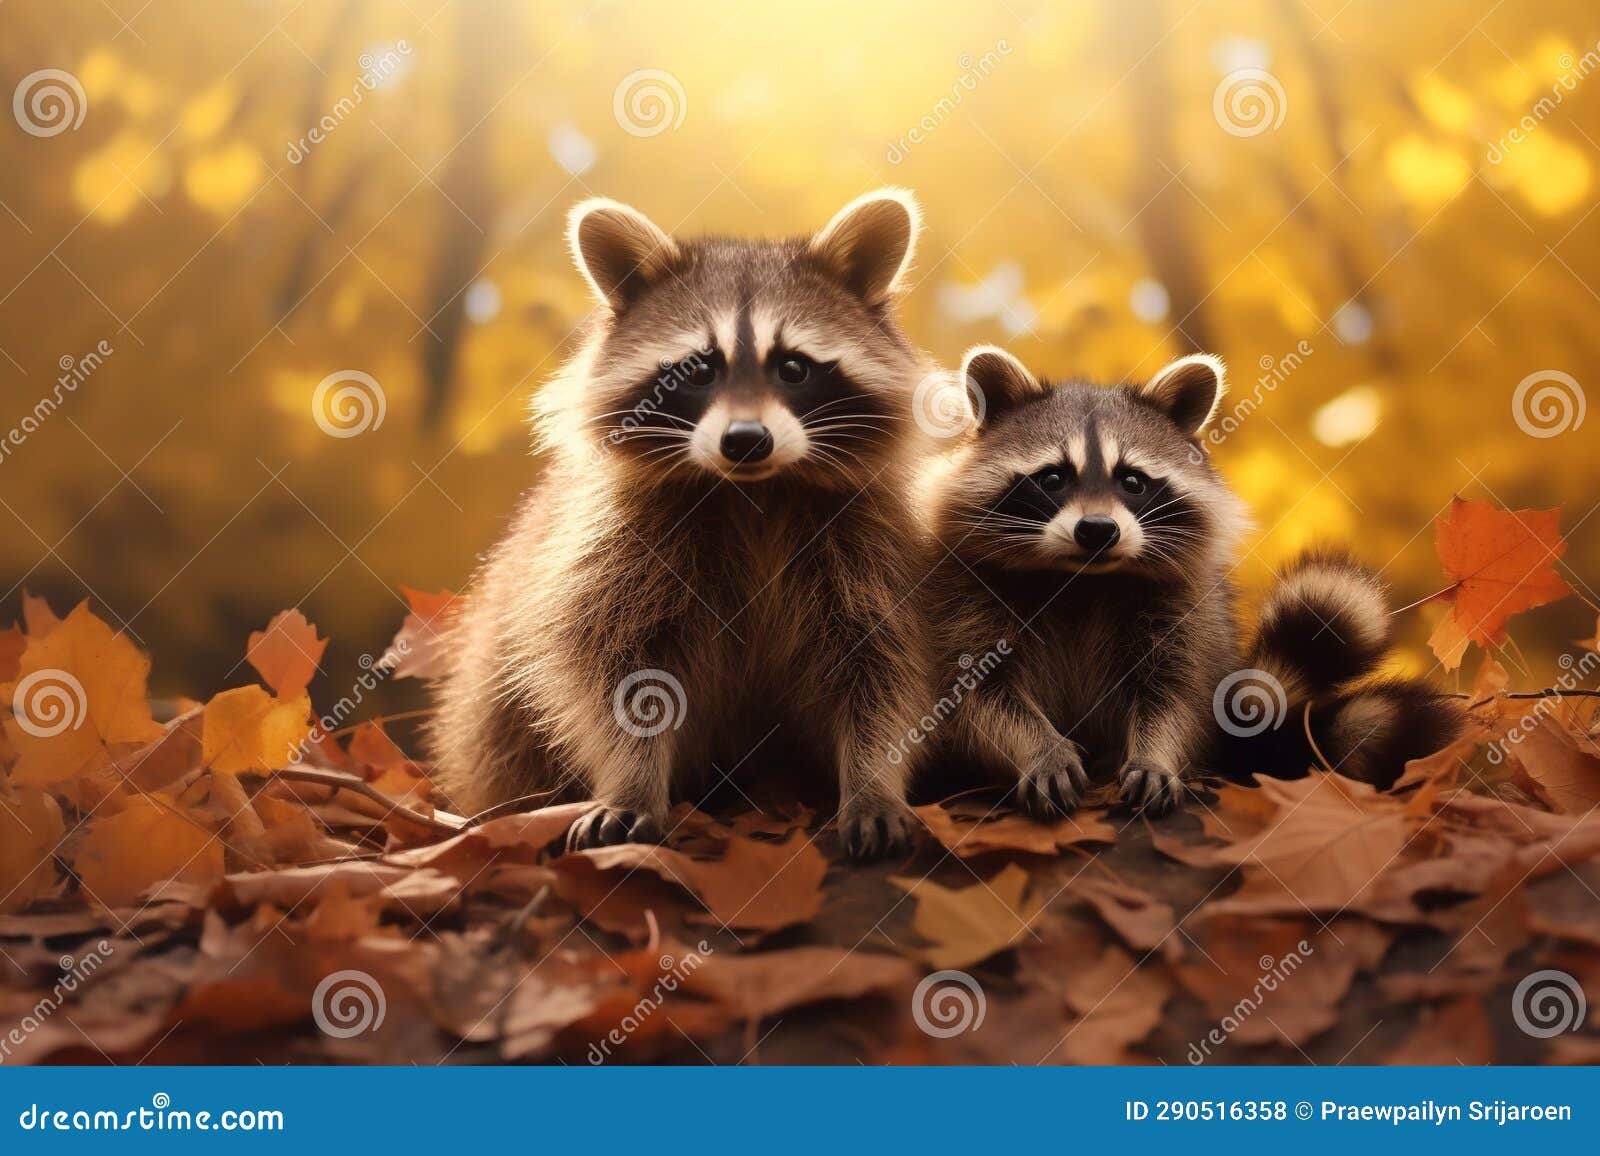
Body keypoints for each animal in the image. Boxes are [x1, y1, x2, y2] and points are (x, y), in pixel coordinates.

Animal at [430, 190, 935, 859]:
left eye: (793, 368)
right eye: (699, 370)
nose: (745, 441)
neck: (752, 493)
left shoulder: (867, 542)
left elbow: (882, 665)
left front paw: (873, 781)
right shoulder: (619, 546)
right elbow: (615, 667)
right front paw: (631, 782)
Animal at [926, 345, 1461, 814]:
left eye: (1133, 481)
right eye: (1052, 478)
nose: (1097, 530)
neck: (1081, 578)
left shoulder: (1189, 605)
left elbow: (1180, 693)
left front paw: (1156, 754)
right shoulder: (965, 597)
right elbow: (975, 696)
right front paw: (1038, 750)